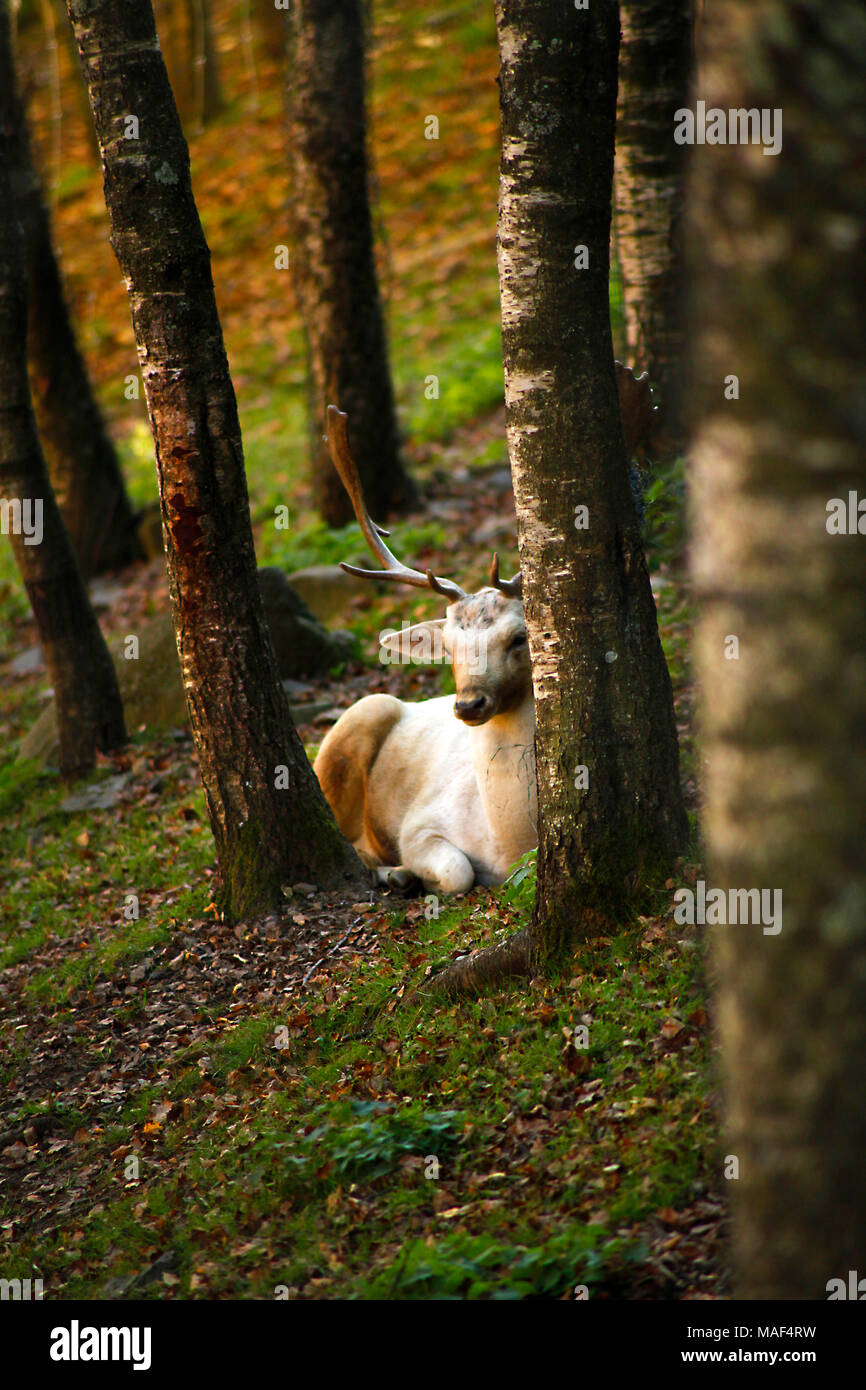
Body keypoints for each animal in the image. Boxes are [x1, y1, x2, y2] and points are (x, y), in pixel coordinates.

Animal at [313, 406, 537, 895]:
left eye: (519, 637)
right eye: (449, 645)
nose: (469, 703)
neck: (512, 843)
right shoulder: (418, 824)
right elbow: (458, 871)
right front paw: (411, 873)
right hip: (355, 722)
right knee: (349, 837)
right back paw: (392, 873)